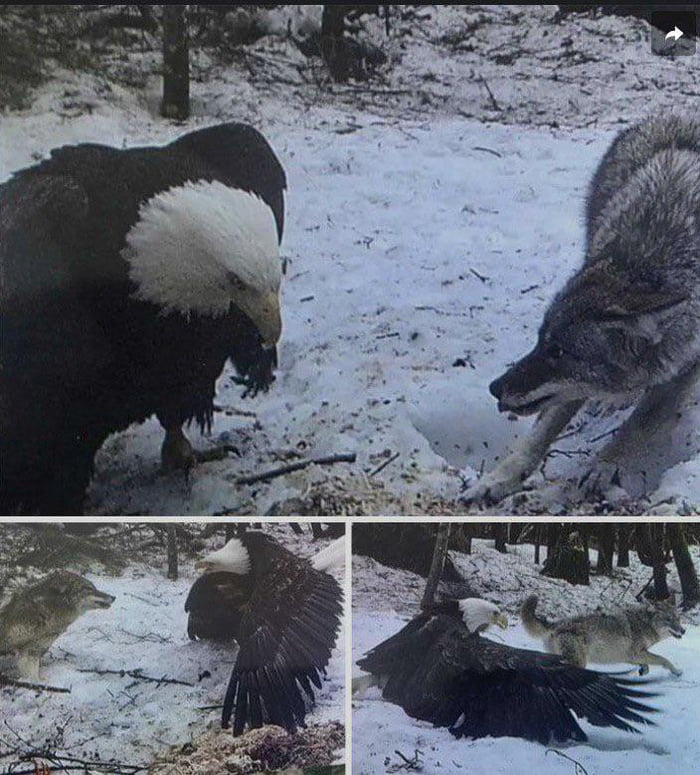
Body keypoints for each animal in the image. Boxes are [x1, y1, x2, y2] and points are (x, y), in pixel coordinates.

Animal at [463, 114, 700, 504]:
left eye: (559, 352)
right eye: (540, 341)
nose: (495, 388)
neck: (647, 262)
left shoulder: (684, 367)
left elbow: (641, 422)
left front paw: (605, 466)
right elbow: (539, 433)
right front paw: (497, 479)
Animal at [521, 594, 685, 676]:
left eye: (678, 618)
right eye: (669, 620)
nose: (683, 631)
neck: (644, 623)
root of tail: (555, 623)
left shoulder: (629, 657)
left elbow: (647, 665)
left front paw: (643, 671)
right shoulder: (636, 654)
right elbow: (664, 659)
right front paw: (676, 672)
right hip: (579, 663)